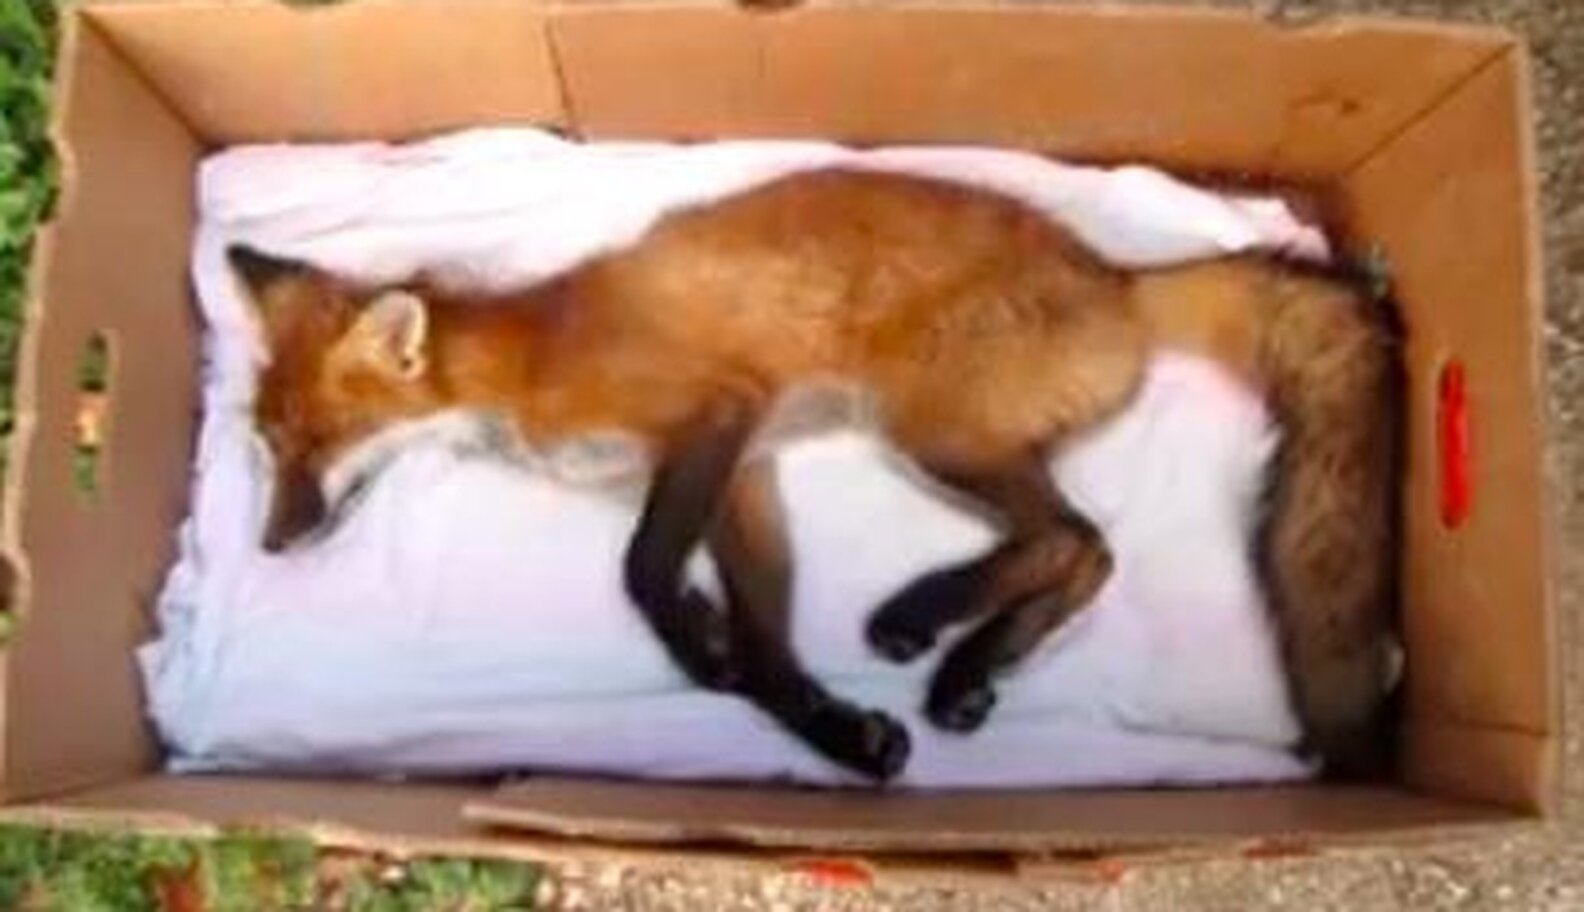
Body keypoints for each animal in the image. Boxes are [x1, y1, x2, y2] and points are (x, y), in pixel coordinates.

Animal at [230, 167, 1403, 782]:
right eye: (267, 449)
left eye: (319, 444)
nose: (270, 546)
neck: (526, 371)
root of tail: (1117, 275)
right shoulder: (745, 478)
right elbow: (764, 647)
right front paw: (840, 734)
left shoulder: (714, 416)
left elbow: (643, 570)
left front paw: (699, 650)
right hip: (957, 444)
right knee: (1089, 552)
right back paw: (971, 666)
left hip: (927, 434)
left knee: (1075, 538)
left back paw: (928, 619)